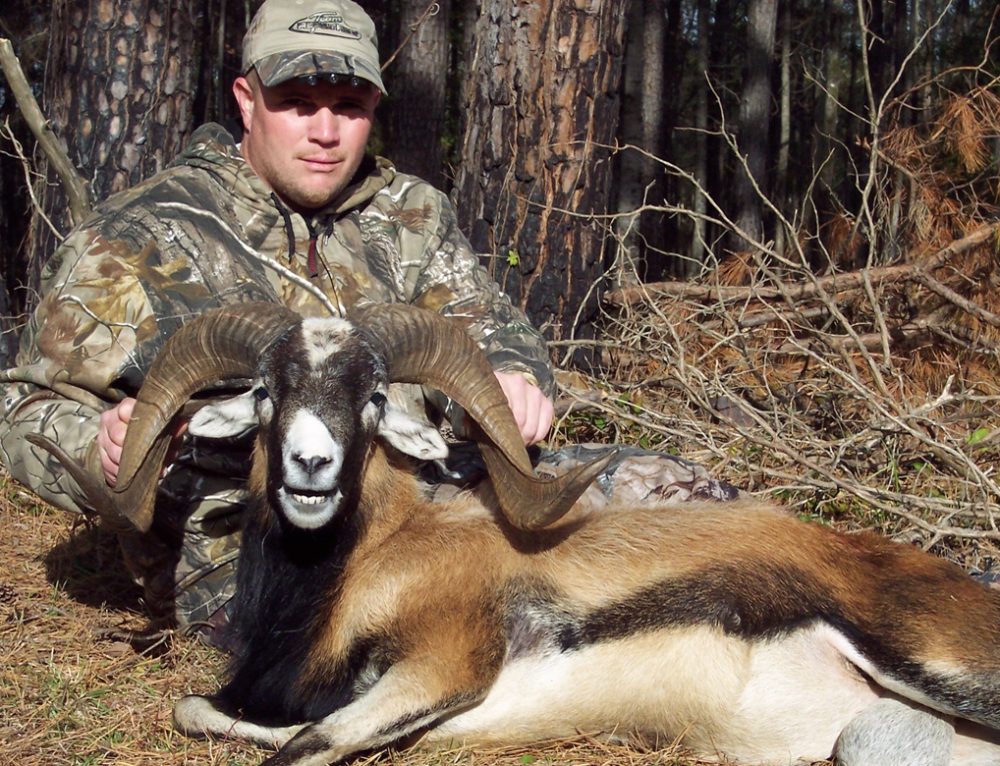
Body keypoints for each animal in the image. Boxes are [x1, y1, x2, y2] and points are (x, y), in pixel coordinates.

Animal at [28, 301, 1000, 766]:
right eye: (268, 390)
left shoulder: (444, 665)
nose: (309, 467)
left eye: (371, 396)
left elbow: (305, 745)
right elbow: (205, 713)